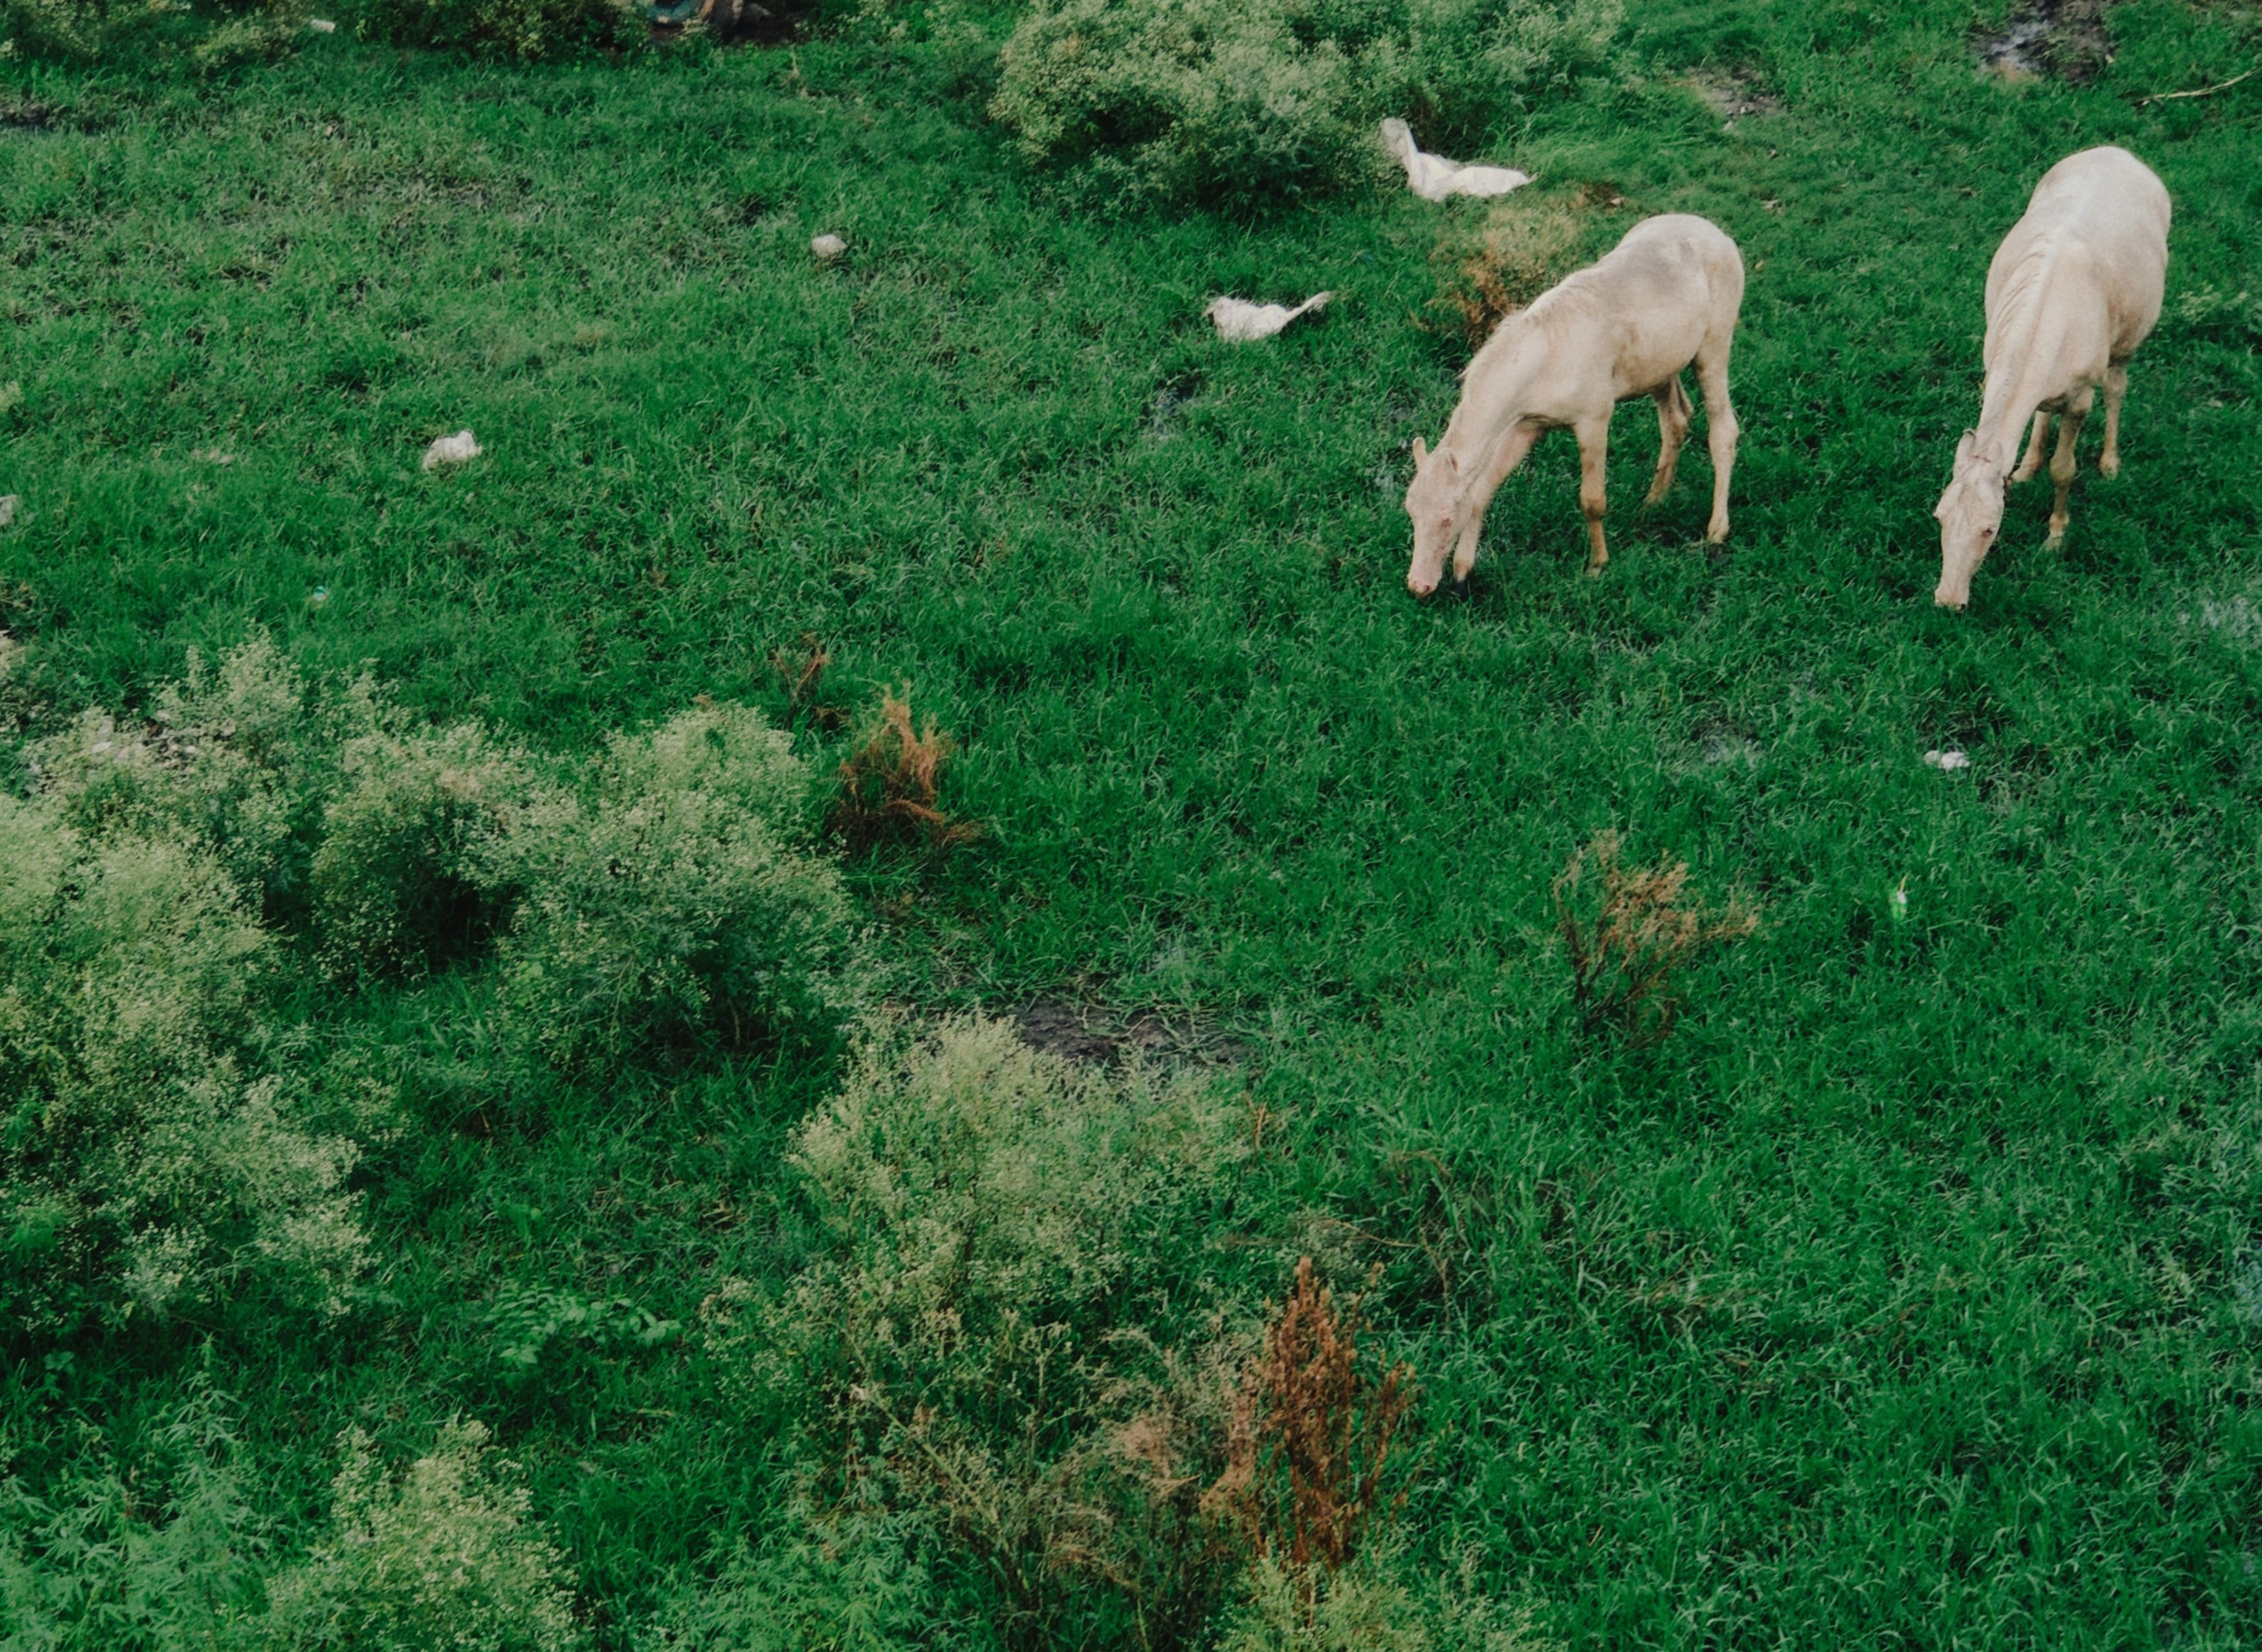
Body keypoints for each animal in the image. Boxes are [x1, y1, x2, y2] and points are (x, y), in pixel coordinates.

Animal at [1404, 214, 1744, 598]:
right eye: (1410, 511)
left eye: (1447, 519)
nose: (1418, 585)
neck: (1547, 353)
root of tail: (1715, 231)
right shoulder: (1527, 425)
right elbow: (1483, 489)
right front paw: (1463, 574)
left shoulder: (1594, 418)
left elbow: (1592, 500)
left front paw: (1597, 565)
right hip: (1661, 365)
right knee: (1676, 419)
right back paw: (1653, 503)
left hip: (1715, 344)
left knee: (1723, 430)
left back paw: (1716, 530)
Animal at [1933, 146, 2170, 611]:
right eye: (1939, 517)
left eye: (1990, 529)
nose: (1948, 601)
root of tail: (2119, 151)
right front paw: (2024, 472)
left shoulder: (2081, 397)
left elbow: (2065, 469)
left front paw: (2055, 538)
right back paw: (2028, 467)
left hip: (2129, 341)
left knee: (2117, 387)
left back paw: (2110, 463)